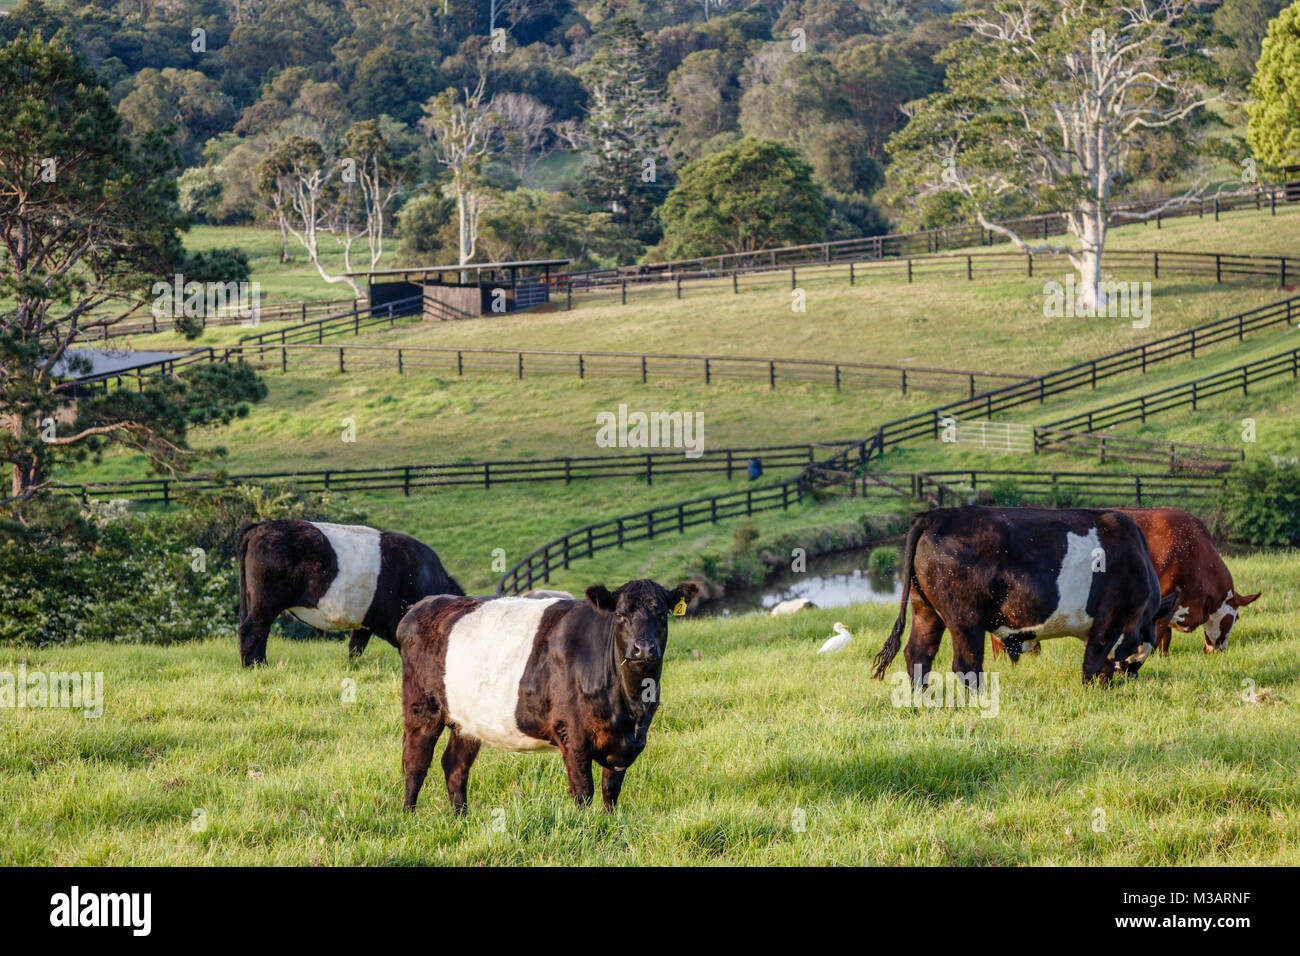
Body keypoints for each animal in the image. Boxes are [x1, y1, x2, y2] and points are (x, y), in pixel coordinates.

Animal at [236, 519, 464, 666]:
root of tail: (259, 527)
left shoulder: (365, 622)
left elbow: (355, 647)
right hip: (265, 604)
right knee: (252, 630)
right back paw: (254, 666)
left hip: (256, 602)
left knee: (260, 632)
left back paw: (262, 664)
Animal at [396, 579, 699, 814]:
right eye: (621, 614)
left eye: (662, 614)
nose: (643, 648)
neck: (631, 704)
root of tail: (423, 605)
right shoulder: (573, 736)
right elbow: (583, 791)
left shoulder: (623, 744)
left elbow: (610, 792)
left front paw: (608, 823)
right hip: (421, 708)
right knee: (415, 763)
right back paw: (409, 815)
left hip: (467, 721)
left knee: (455, 767)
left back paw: (462, 818)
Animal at [870, 506, 1180, 687]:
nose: (1128, 680)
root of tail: (937, 515)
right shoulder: (1110, 618)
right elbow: (1094, 659)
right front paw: (1094, 687)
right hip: (965, 617)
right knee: (966, 664)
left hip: (925, 608)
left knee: (918, 653)